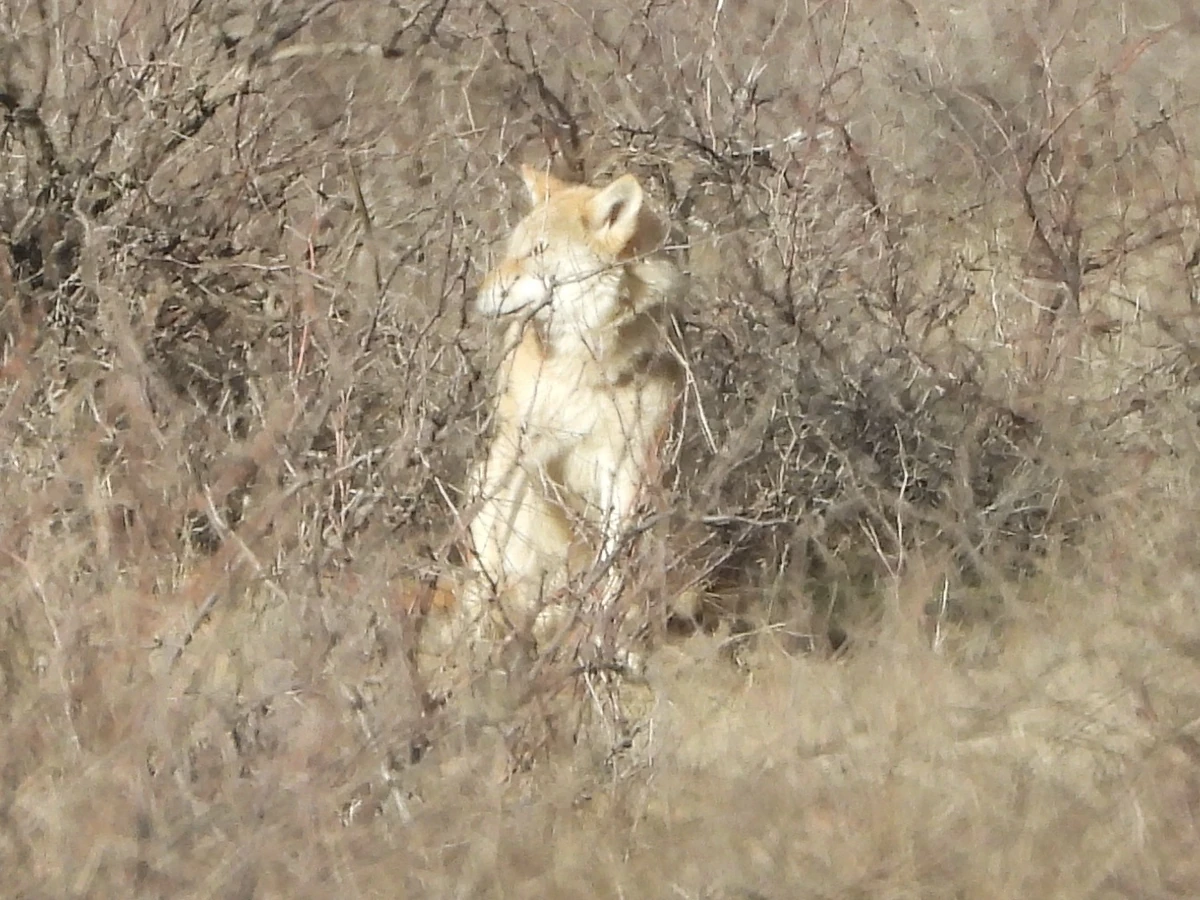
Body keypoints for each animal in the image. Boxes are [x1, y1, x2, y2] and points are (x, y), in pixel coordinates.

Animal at [461, 164, 686, 652]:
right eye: (514, 248)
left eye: (538, 251)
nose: (475, 297)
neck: (584, 369)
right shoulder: (521, 453)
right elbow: (493, 553)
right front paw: (478, 634)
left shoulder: (629, 473)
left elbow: (612, 572)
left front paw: (604, 643)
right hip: (487, 478)